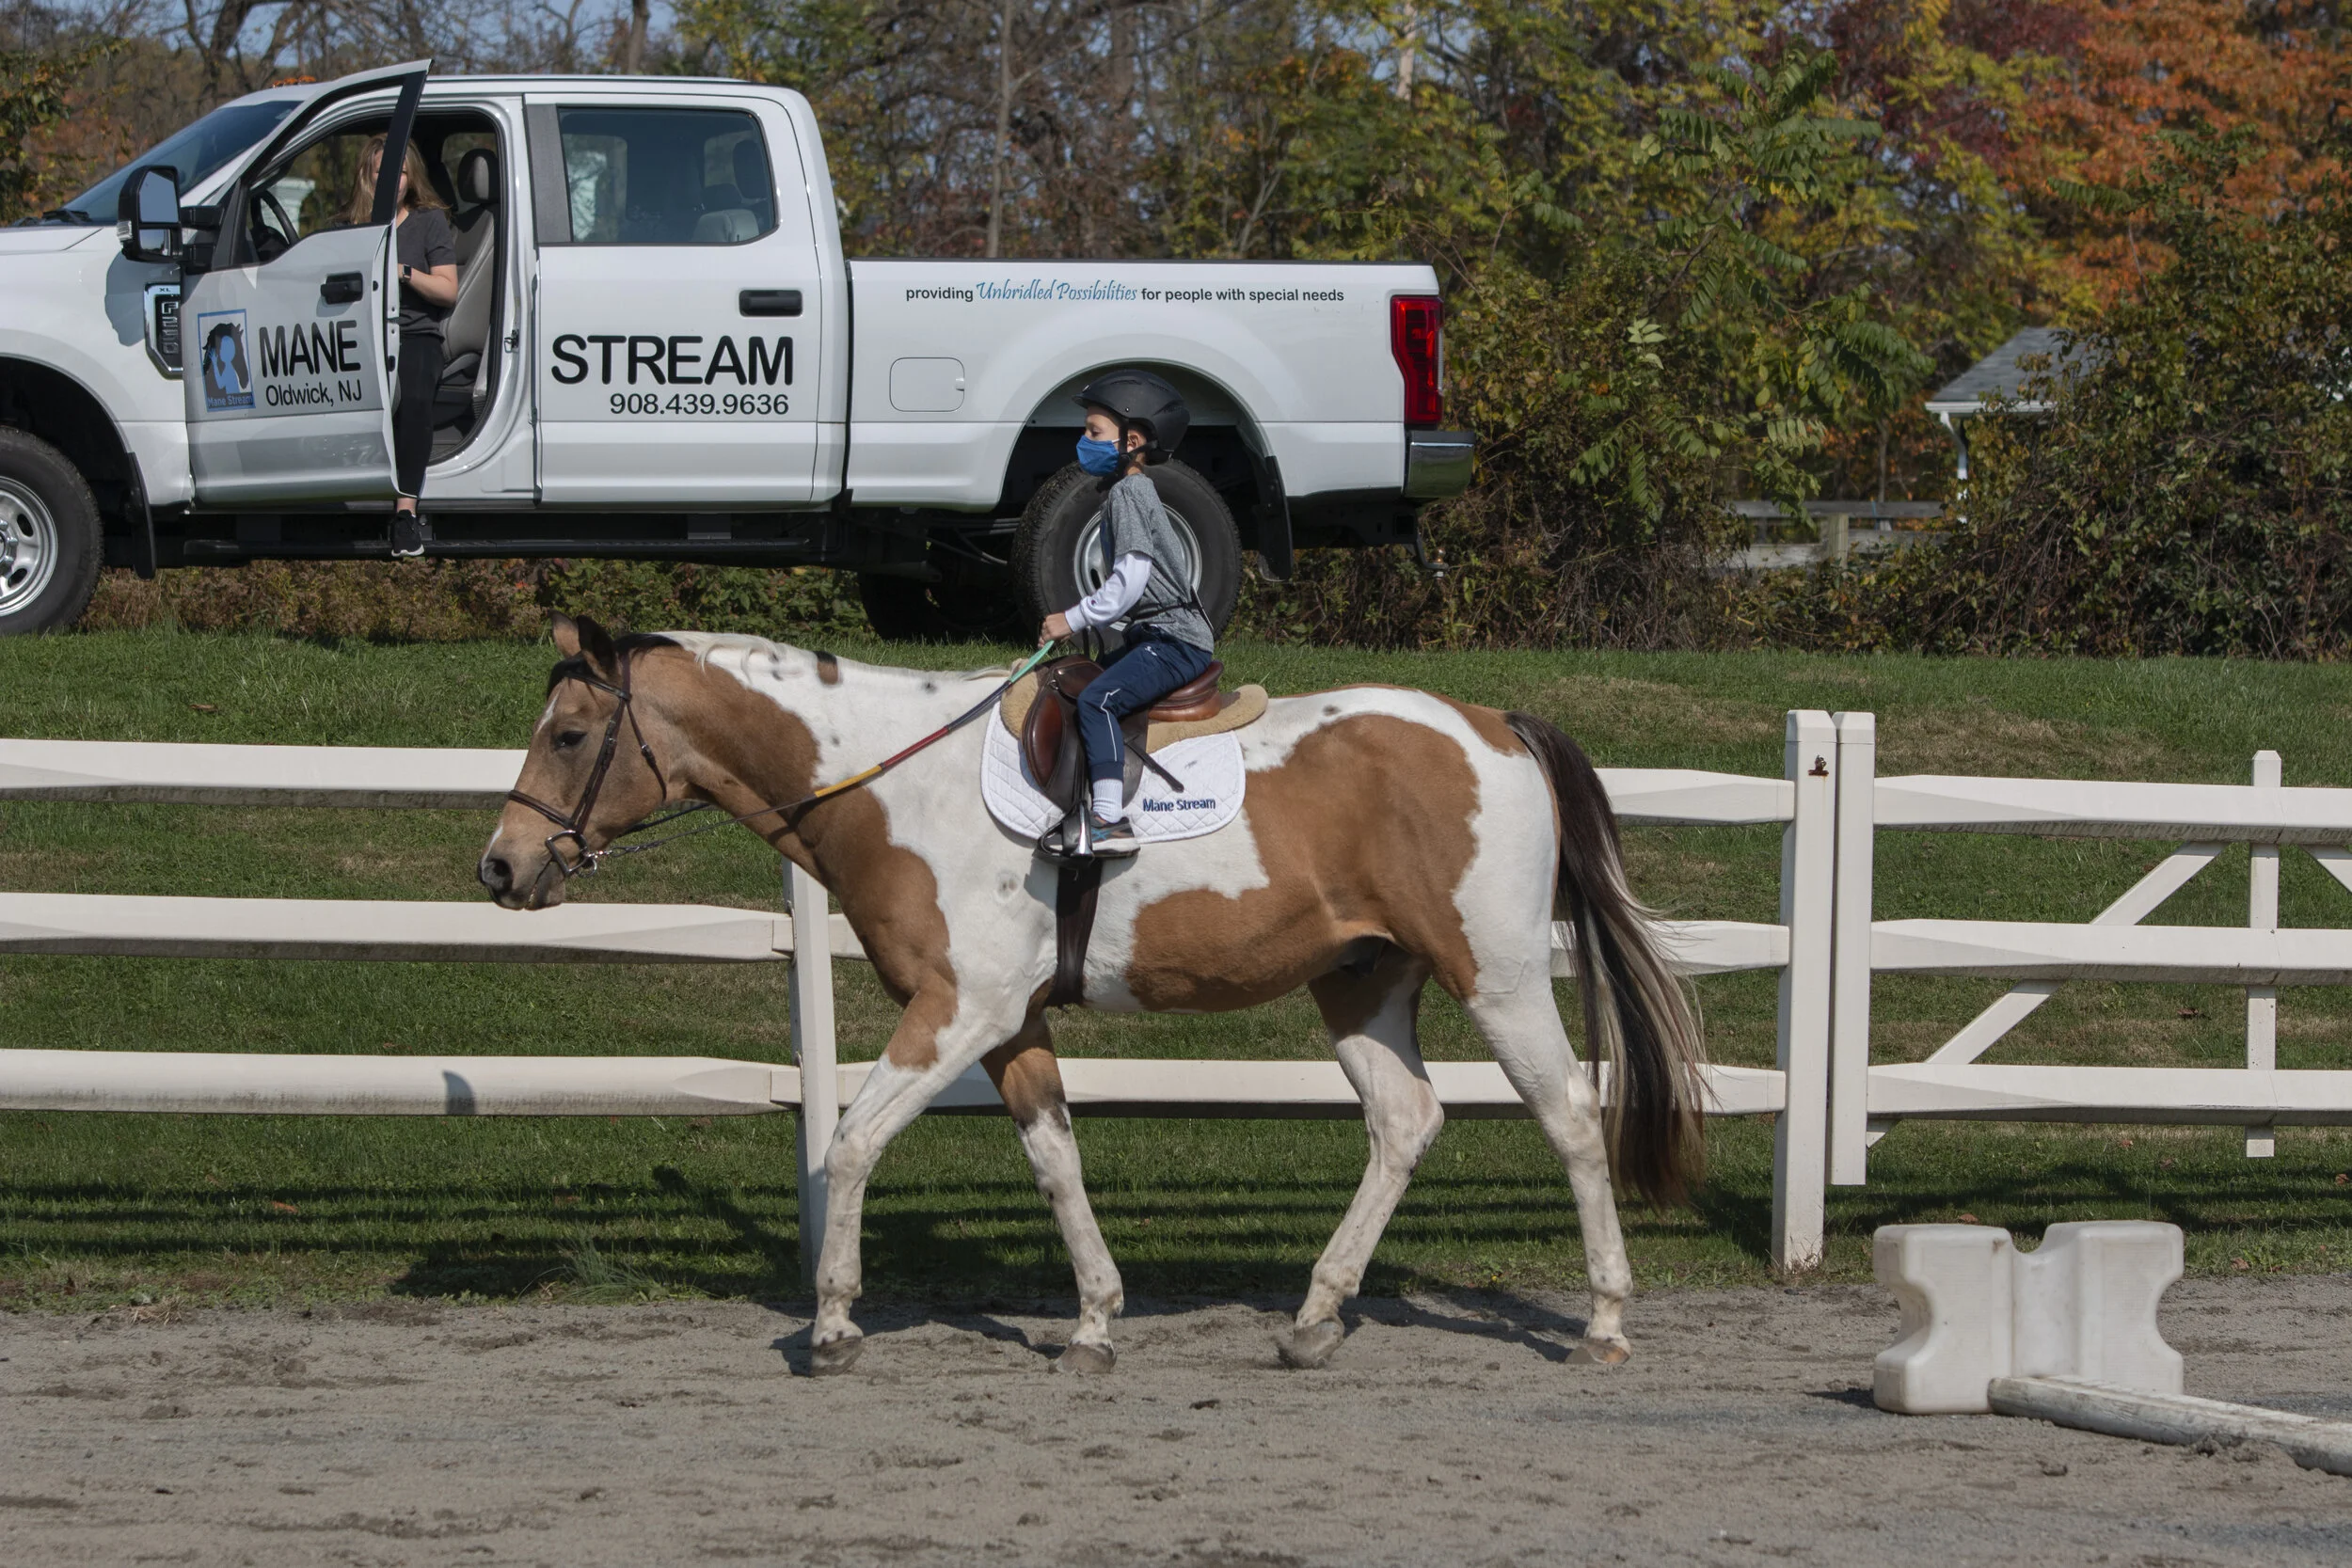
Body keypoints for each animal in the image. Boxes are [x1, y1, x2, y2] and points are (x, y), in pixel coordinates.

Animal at [479, 614, 1705, 1375]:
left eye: (571, 733)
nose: (500, 865)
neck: (896, 784)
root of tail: (1496, 725)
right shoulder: (1009, 1022)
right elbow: (1055, 1160)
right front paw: (1094, 1322)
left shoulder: (959, 1008)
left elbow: (853, 1139)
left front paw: (831, 1324)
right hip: (1358, 985)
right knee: (1405, 1119)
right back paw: (1314, 1315)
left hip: (1497, 978)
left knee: (1570, 1116)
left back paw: (1602, 1320)